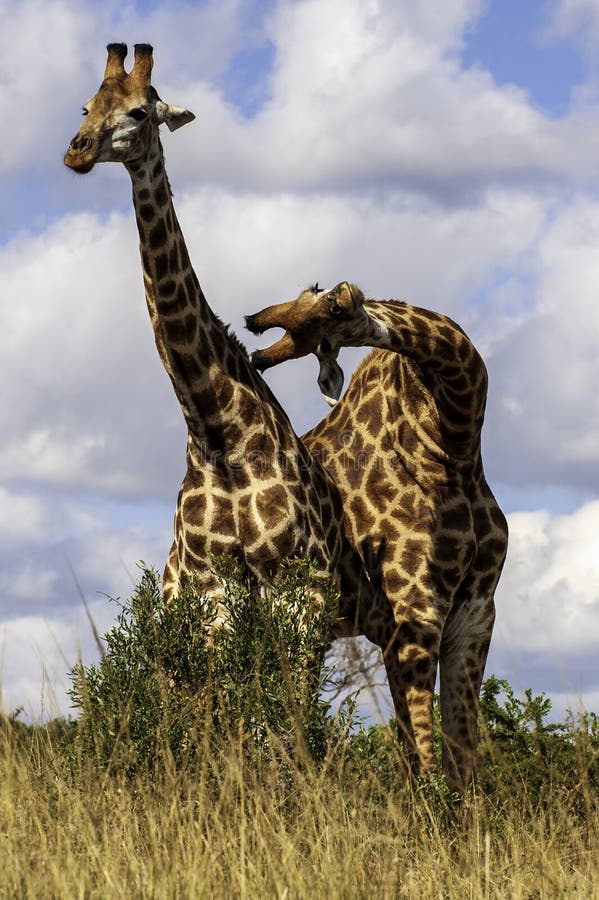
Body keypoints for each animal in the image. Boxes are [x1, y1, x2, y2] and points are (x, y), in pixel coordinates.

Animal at [63, 44, 378, 639]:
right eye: (86, 106)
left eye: (139, 111)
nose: (77, 151)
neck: (213, 428)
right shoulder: (213, 594)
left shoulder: (296, 590)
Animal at [246, 282, 508, 788]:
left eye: (327, 303)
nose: (256, 345)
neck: (456, 443)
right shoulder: (413, 608)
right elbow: (423, 761)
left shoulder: (476, 613)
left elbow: (461, 765)